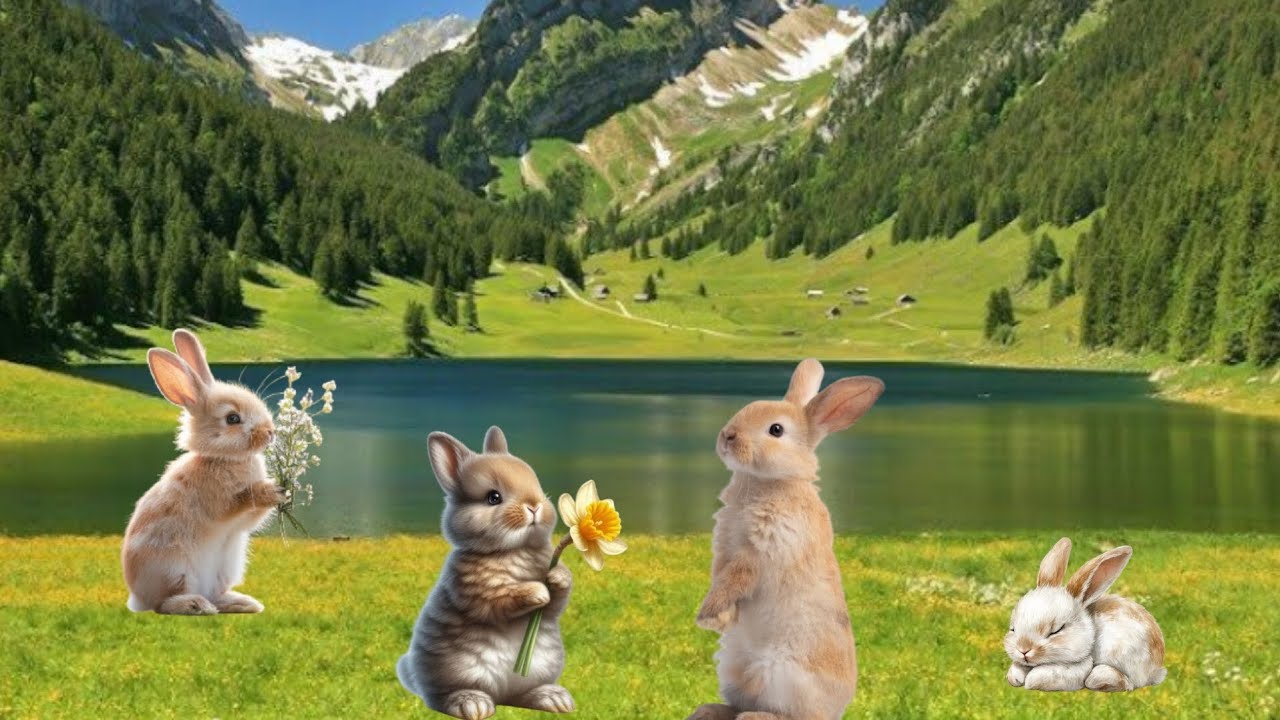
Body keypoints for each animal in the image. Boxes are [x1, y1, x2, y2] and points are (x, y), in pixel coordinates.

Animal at [121, 329, 281, 615]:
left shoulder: (243, 525)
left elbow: (252, 520)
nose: (270, 433)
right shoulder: (216, 500)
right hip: (175, 569)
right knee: (164, 604)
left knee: (215, 595)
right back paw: (196, 605)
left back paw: (242, 603)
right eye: (232, 419)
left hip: (226, 568)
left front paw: (281, 492)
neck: (224, 459)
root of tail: (138, 599)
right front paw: (267, 491)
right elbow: (235, 503)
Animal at [397, 426, 574, 720]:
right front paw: (537, 589)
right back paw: (473, 705)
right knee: (441, 697)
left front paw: (558, 576)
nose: (534, 506)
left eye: (535, 482)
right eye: (493, 497)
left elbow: (557, 601)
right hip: (457, 670)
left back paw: (555, 699)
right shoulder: (478, 592)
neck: (512, 550)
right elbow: (502, 599)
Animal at [687, 358, 884, 720]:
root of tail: (836, 710)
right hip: (734, 666)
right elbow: (720, 578)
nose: (727, 436)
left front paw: (707, 618)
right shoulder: (724, 549)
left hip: (782, 675)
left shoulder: (758, 553)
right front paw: (723, 620)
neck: (770, 483)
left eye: (776, 430)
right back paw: (709, 710)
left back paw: (753, 716)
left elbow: (733, 580)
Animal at [1004, 537, 1167, 692]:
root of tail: (1157, 669)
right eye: (1013, 628)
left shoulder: (1080, 666)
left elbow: (1037, 678)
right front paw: (1015, 678)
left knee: (1126, 683)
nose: (1023, 650)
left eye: (1056, 630)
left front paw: (1030, 681)